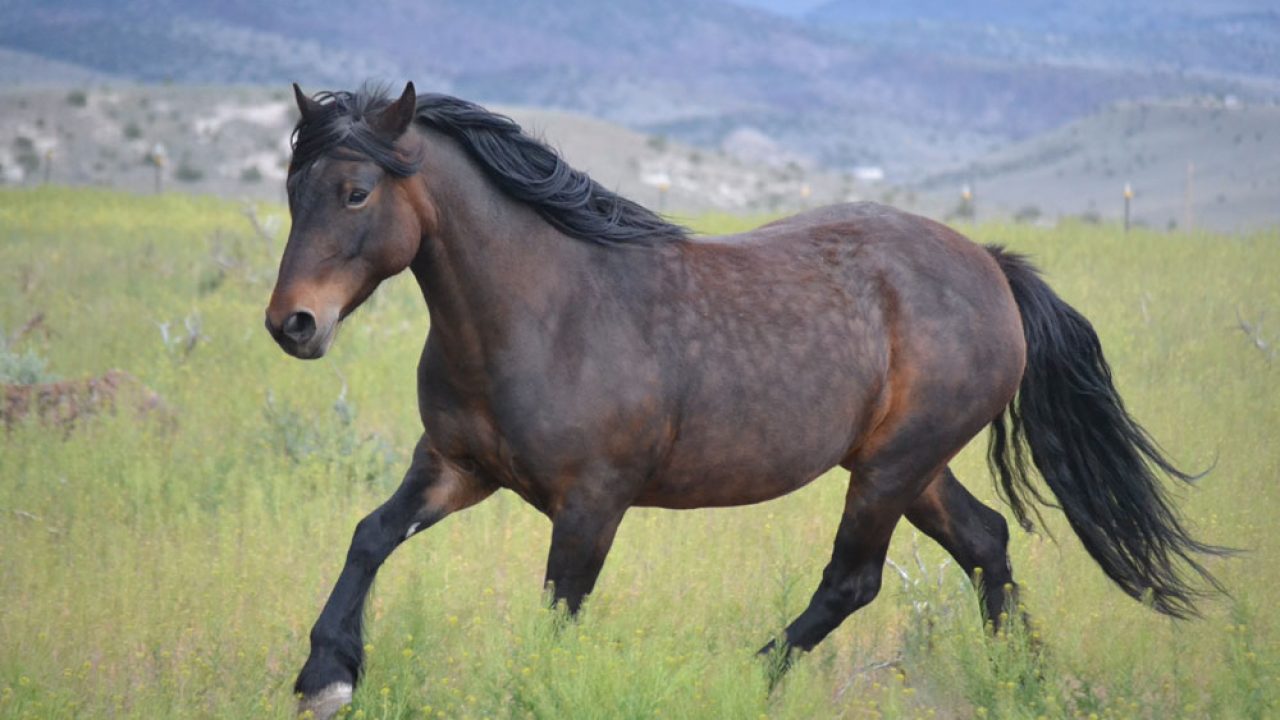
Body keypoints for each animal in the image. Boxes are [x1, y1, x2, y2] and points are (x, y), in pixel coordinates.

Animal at [266, 82, 1226, 718]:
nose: (293, 324)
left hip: (892, 468)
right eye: (291, 189)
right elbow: (370, 536)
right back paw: (1023, 683)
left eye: (356, 191)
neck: (544, 311)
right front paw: (327, 677)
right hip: (910, 468)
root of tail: (991, 264)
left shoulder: (591, 504)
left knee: (854, 580)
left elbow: (559, 608)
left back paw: (744, 677)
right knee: (986, 542)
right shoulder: (455, 467)